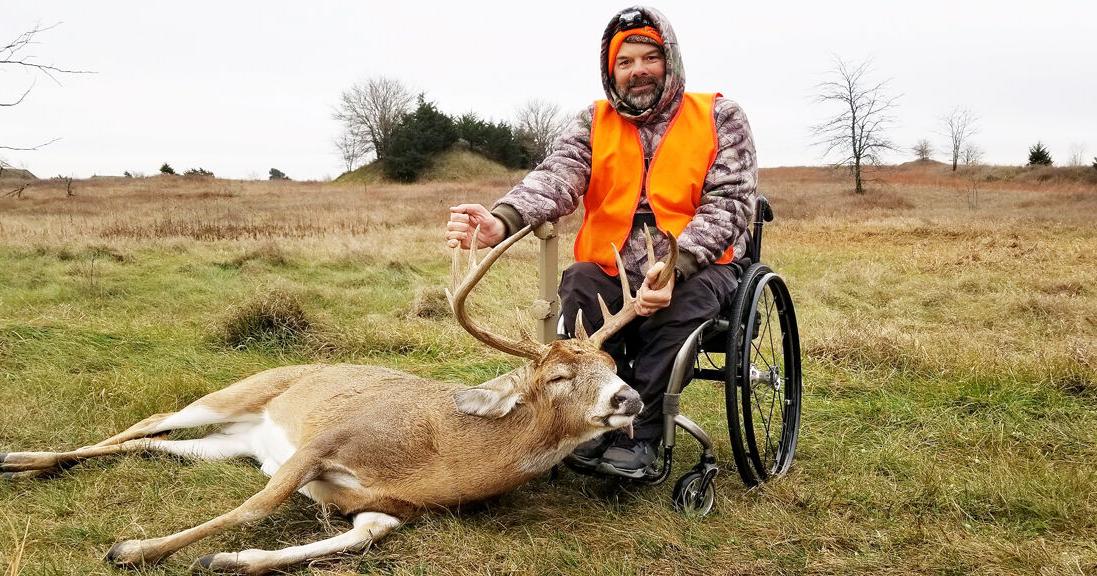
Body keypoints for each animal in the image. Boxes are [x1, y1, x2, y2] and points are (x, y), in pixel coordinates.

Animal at [0, 225, 678, 574]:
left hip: (235, 443)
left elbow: (363, 536)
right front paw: (133, 548)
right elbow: (256, 504)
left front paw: (227, 561)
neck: (440, 454)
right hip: (236, 394)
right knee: (151, 420)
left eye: (611, 363)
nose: (628, 398)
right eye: (559, 377)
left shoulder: (396, 508)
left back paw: (32, 462)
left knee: (153, 445)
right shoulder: (328, 438)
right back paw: (18, 458)